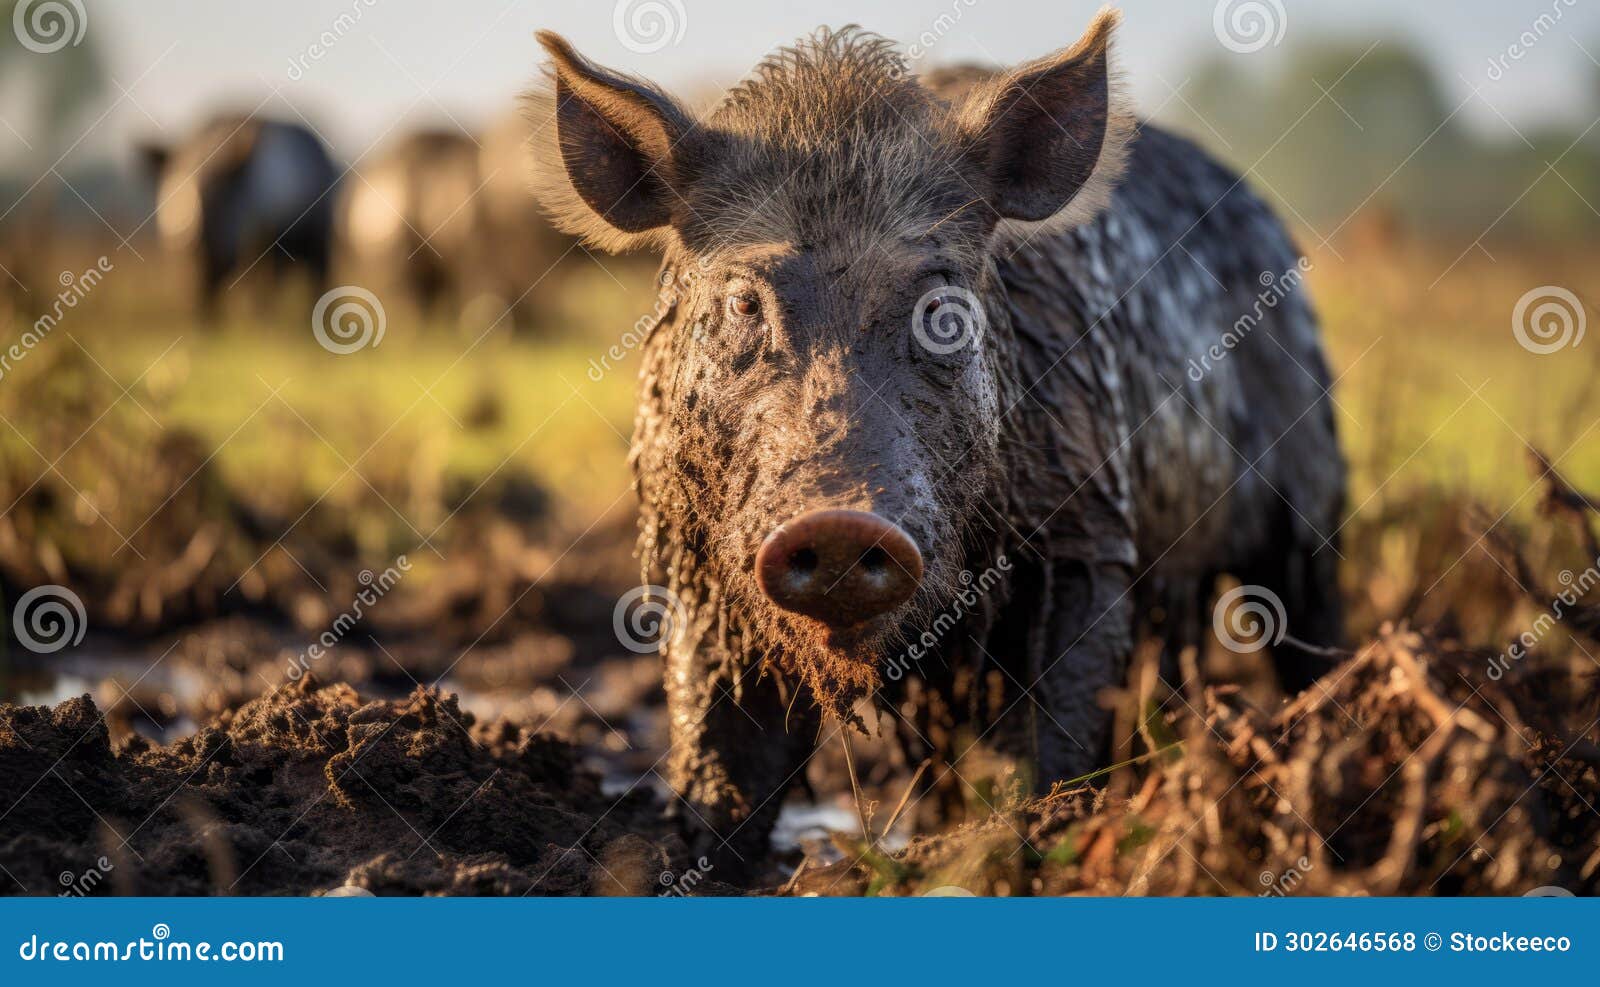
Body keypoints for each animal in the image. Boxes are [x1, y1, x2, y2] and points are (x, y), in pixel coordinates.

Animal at [143, 113, 338, 315]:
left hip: (320, 236)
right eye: (174, 186)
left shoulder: (262, 243)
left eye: (224, 192)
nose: (191, 237)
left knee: (317, 274)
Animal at [527, 10, 1345, 872]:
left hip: (1315, 494)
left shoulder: (1089, 528)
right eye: (745, 301)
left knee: (1309, 617)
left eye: (942, 310)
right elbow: (725, 748)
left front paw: (1026, 840)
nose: (838, 520)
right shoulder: (690, 561)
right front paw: (689, 853)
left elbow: (1058, 718)